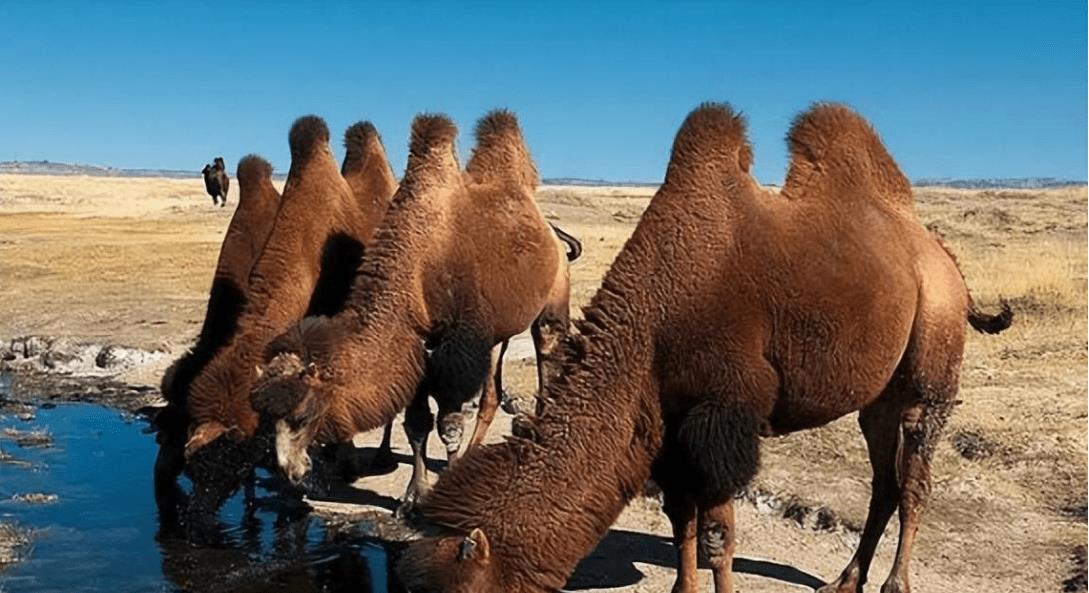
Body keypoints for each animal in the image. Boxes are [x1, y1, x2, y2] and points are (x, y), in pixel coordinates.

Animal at [251, 110, 577, 511]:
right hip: (498, 332)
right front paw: (413, 495)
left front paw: (441, 488)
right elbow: (417, 423)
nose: (290, 469)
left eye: (301, 415)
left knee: (548, 353)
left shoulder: (456, 345)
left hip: (552, 301)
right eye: (267, 417)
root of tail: (552, 233)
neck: (415, 269)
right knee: (491, 394)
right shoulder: (418, 343)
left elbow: (448, 424)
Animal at [394, 102, 1014, 593]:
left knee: (915, 479)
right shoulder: (667, 421)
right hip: (877, 398)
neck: (655, 324)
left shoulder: (722, 418)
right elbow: (681, 525)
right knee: (883, 481)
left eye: (451, 588)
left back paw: (893, 583)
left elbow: (716, 535)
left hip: (931, 360)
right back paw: (844, 579)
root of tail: (944, 258)